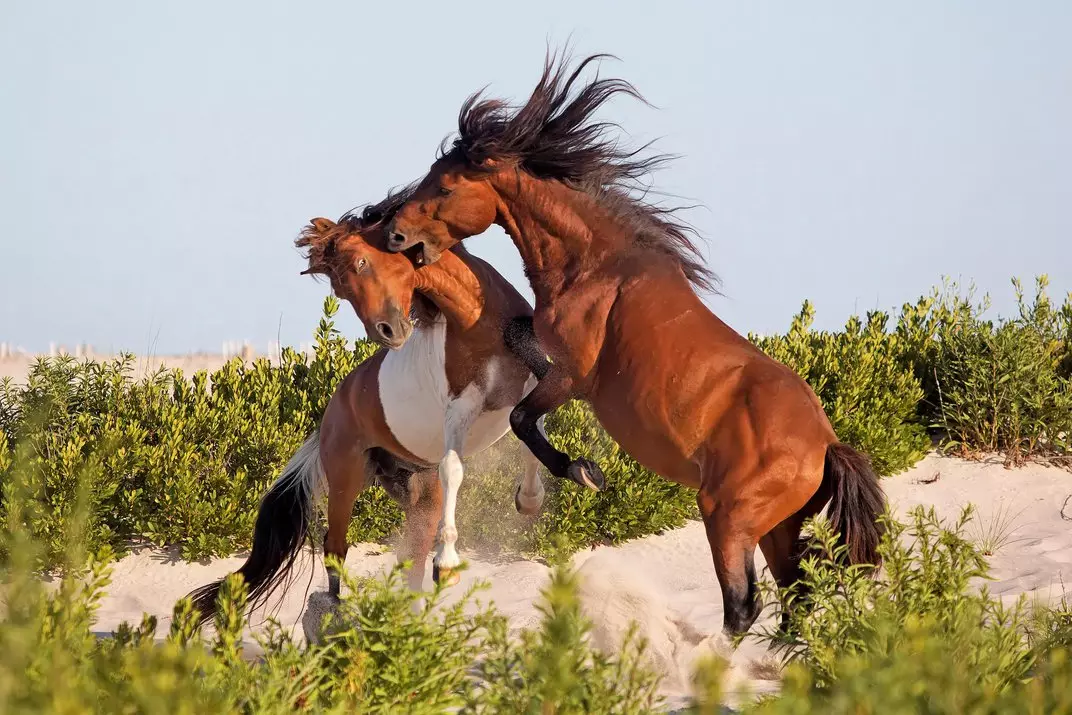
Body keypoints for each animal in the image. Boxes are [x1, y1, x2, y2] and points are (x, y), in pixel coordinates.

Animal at [186, 196, 596, 626]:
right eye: (340, 288)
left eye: (363, 263)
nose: (387, 332)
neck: (478, 321)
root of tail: (329, 416)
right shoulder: (460, 410)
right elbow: (457, 468)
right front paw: (448, 564)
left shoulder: (528, 388)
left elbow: (529, 435)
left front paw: (543, 492)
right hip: (346, 478)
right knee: (336, 547)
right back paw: (339, 615)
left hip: (416, 492)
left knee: (410, 559)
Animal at [381, 54, 883, 638]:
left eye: (444, 187)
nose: (394, 234)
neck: (597, 264)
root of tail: (826, 445)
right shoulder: (549, 355)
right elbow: (519, 361)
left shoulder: (575, 374)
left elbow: (524, 419)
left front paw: (576, 477)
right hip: (777, 527)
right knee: (793, 597)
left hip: (728, 517)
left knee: (743, 606)